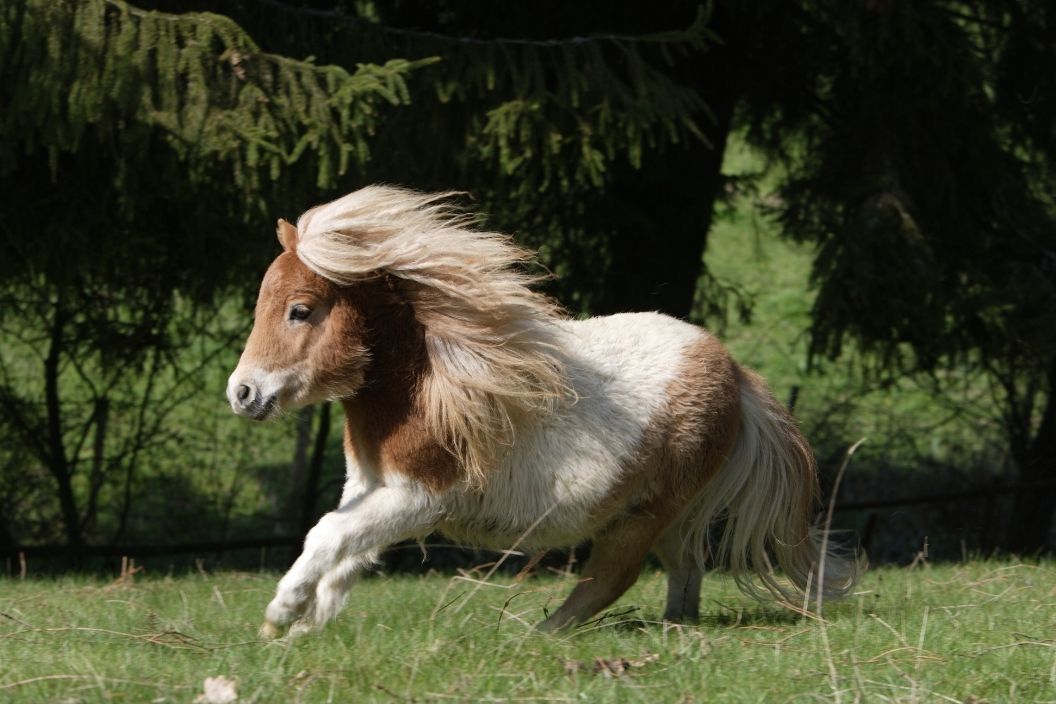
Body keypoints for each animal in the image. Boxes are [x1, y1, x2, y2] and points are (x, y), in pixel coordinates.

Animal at [226, 185, 859, 637]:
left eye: (300, 310)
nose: (242, 393)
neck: (432, 385)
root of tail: (735, 372)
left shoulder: (420, 499)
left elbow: (329, 535)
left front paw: (282, 616)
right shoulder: (369, 486)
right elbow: (346, 551)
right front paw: (310, 623)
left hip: (642, 516)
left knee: (612, 577)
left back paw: (539, 636)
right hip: (671, 517)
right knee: (685, 571)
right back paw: (674, 632)